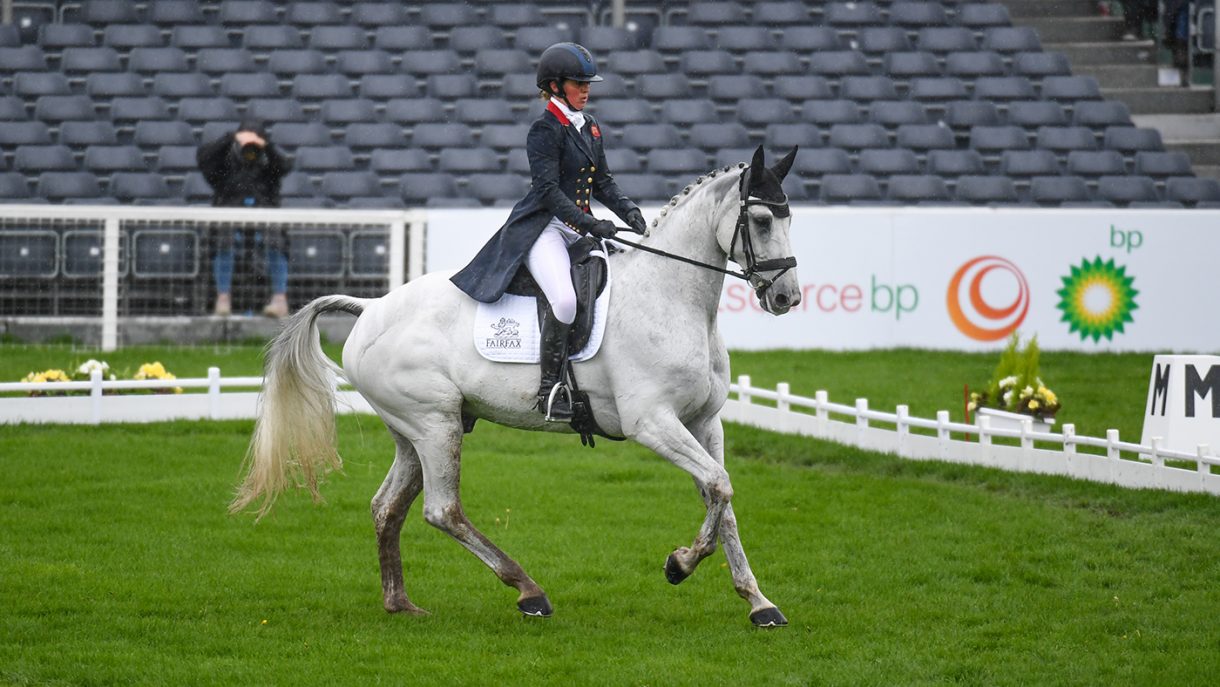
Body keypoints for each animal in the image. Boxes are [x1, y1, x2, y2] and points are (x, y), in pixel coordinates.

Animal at [231, 145, 803, 627]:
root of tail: (372, 309)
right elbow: (720, 487)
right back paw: (529, 592)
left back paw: (401, 603)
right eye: (760, 220)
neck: (670, 299)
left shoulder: (704, 423)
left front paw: (759, 603)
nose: (787, 298)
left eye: (789, 217)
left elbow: (721, 499)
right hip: (435, 424)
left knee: (387, 506)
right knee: (443, 510)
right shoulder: (652, 423)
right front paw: (679, 564)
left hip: (414, 432)